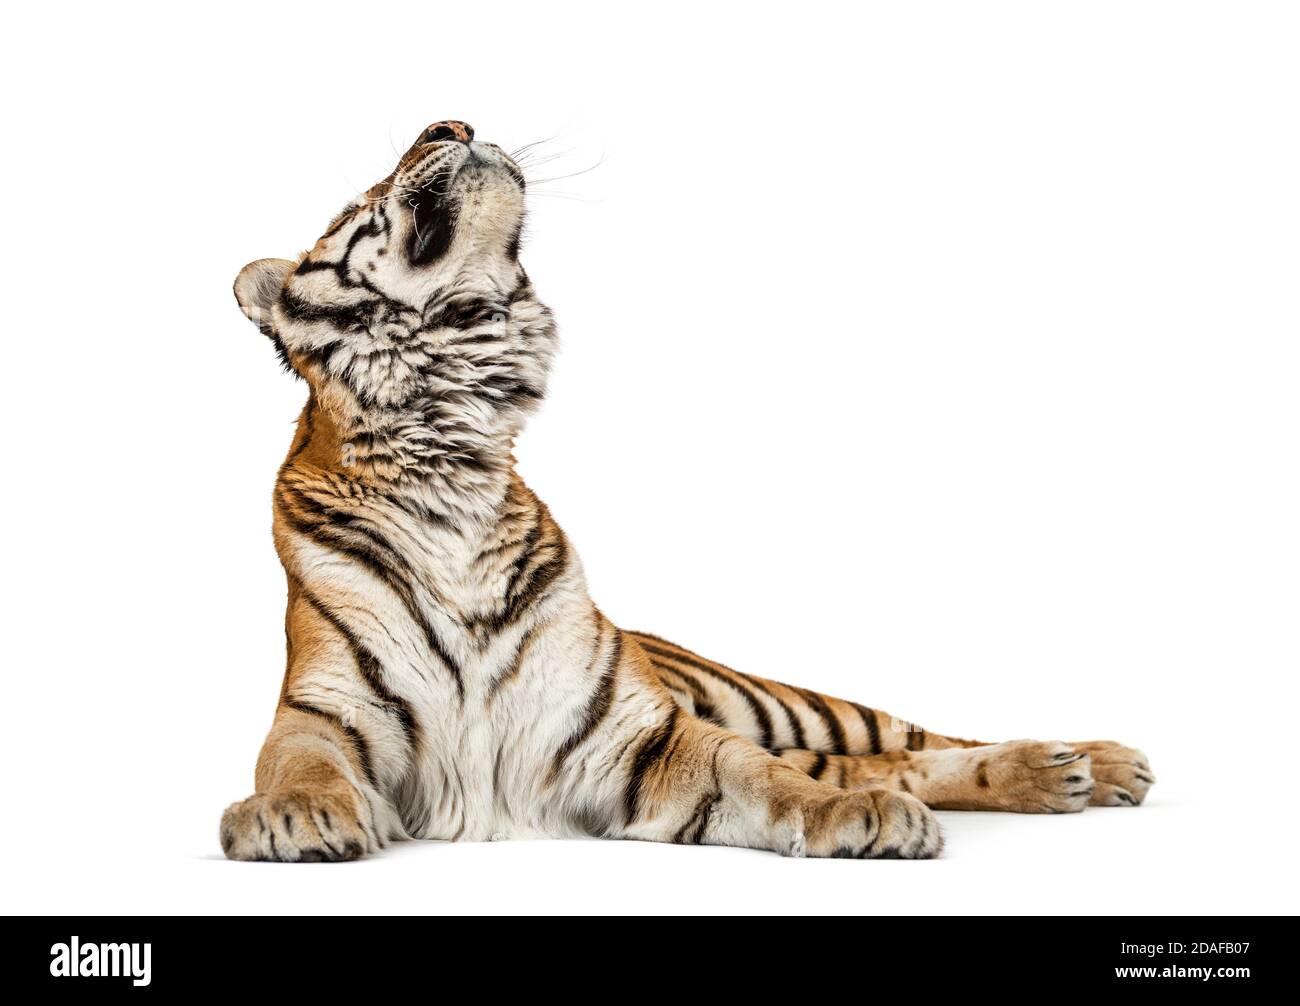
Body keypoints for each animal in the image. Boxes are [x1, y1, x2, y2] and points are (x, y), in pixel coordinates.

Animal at [221, 119, 1154, 862]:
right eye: (354, 205)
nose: (451, 122)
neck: (451, 451)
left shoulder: (642, 731)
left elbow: (769, 777)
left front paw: (863, 815)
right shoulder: (324, 710)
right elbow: (298, 762)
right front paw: (290, 815)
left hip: (783, 702)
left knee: (909, 739)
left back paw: (1091, 762)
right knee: (891, 757)